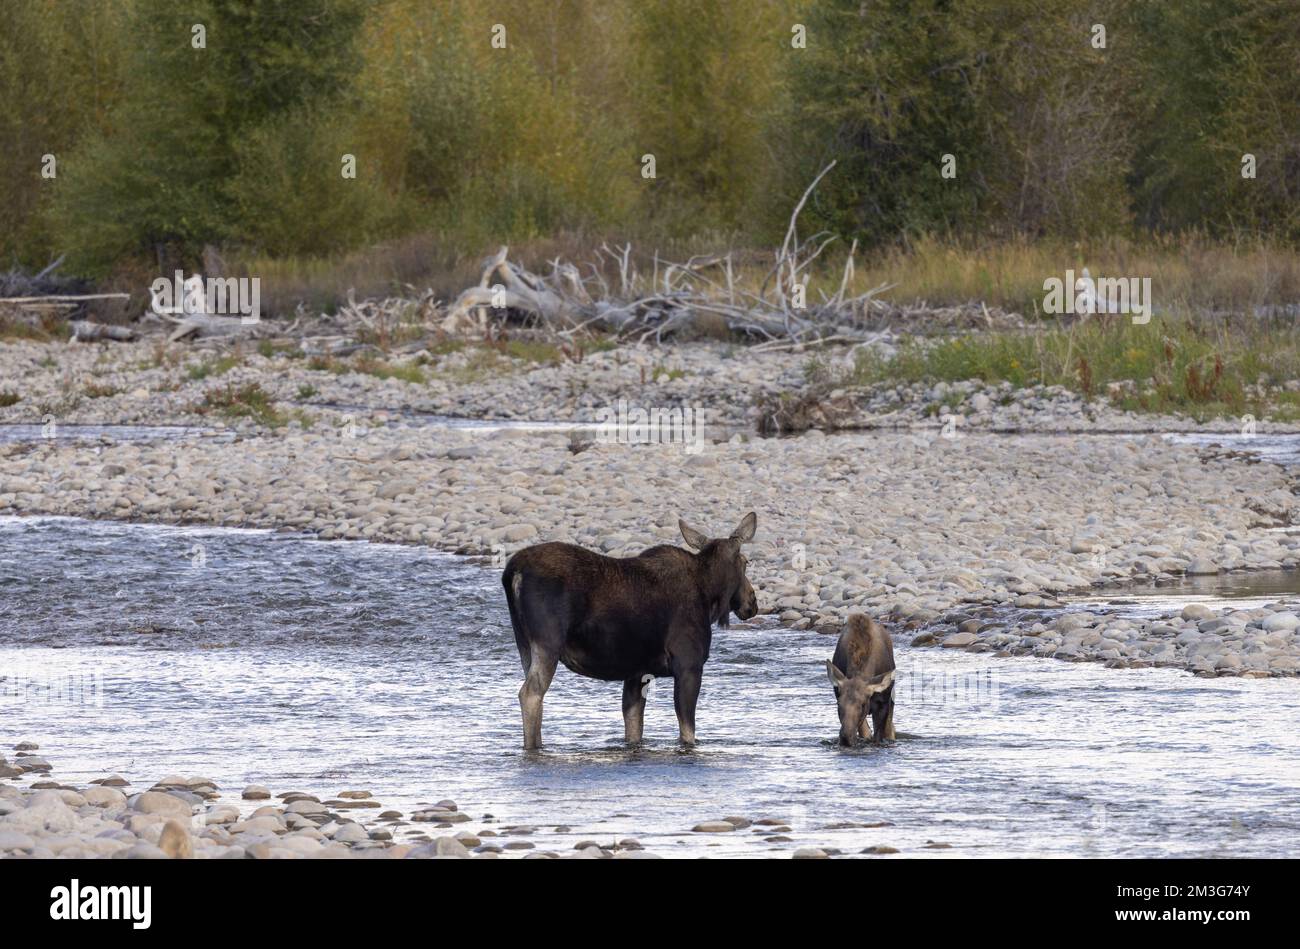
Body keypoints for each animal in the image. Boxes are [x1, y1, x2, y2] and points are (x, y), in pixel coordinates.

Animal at [502, 513, 759, 750]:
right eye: (746, 562)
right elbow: (687, 732)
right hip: (547, 644)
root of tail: (512, 572)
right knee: (530, 694)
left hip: (524, 645)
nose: (753, 602)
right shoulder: (689, 665)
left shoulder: (637, 672)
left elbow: (634, 729)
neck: (709, 597)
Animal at [825, 613, 896, 746]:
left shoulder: (883, 702)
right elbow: (866, 733)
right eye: (838, 703)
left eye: (863, 704)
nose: (845, 738)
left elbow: (878, 737)